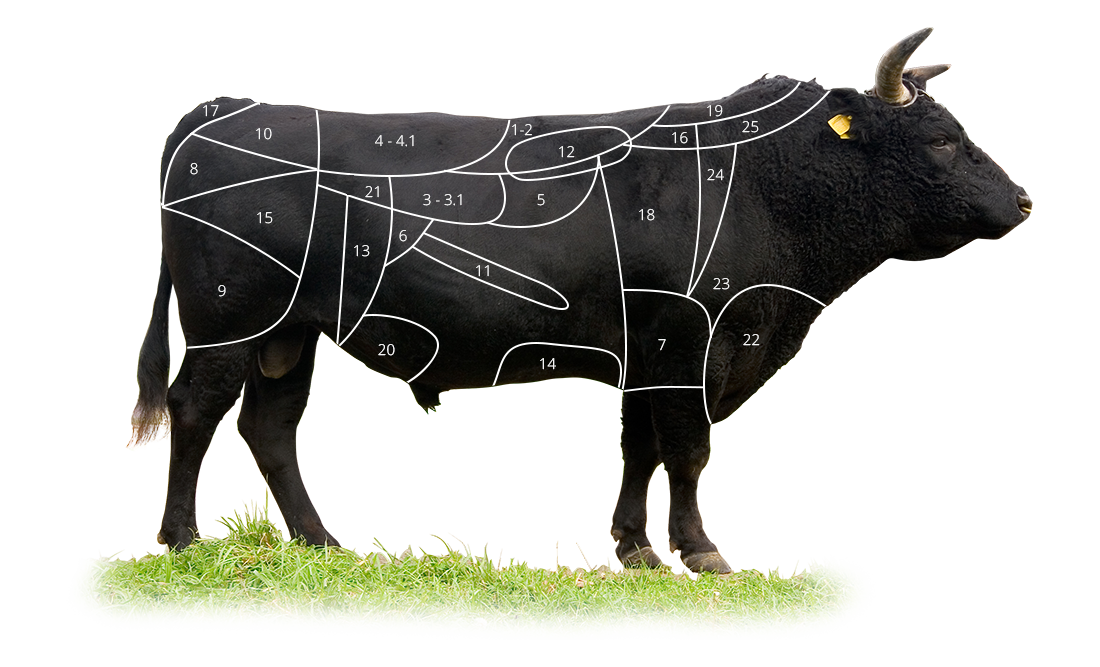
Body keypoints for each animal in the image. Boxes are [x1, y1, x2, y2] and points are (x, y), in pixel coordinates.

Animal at [132, 28, 1032, 574]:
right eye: (942, 140)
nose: (1020, 201)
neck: (761, 182)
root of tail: (225, 107)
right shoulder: (689, 345)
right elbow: (689, 451)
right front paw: (699, 550)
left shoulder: (646, 354)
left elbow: (640, 448)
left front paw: (633, 546)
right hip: (227, 325)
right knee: (196, 411)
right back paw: (179, 538)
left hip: (290, 333)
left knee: (270, 425)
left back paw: (318, 541)